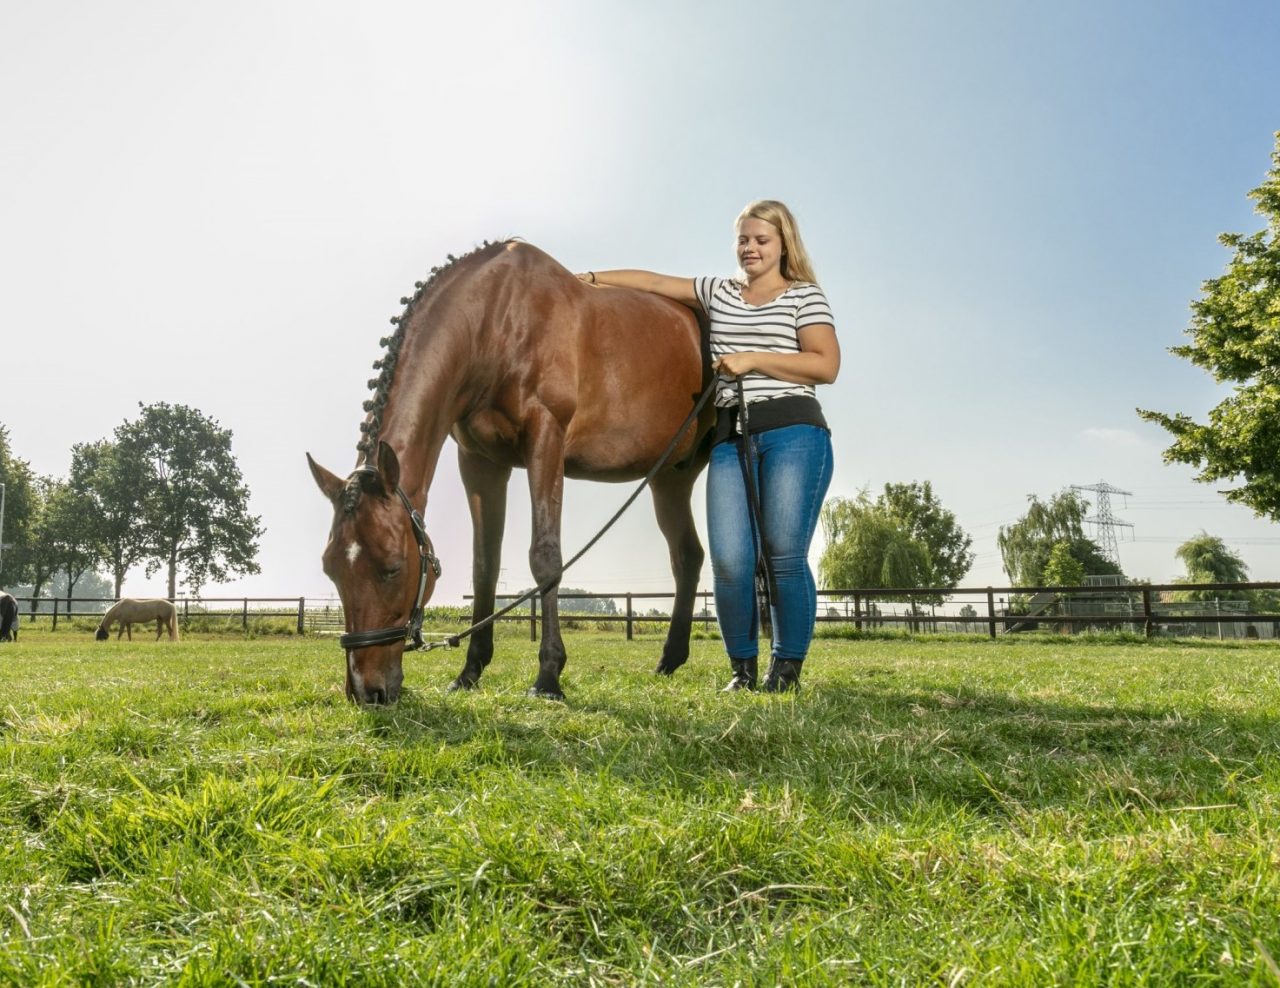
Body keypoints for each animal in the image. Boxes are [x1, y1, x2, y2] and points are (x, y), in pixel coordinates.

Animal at [308, 240, 713, 704]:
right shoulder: (481, 461)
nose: (365, 691)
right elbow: (484, 565)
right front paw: (470, 671)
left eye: (392, 567)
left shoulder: (546, 438)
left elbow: (546, 558)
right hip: (672, 475)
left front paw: (549, 676)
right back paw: (669, 660)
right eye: (330, 568)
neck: (494, 321)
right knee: (687, 555)